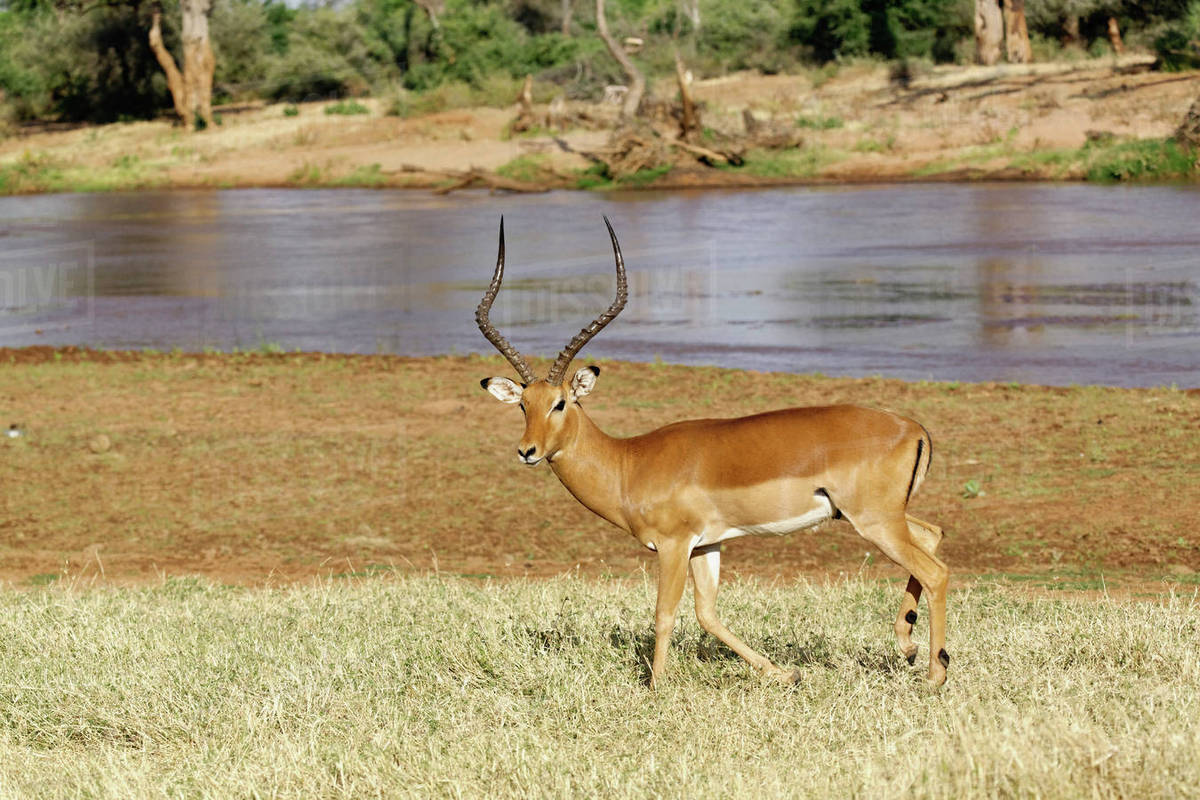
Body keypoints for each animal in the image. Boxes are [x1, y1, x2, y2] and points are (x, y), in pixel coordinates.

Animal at [477, 218, 949, 688]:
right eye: (523, 404)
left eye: (560, 403)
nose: (527, 451)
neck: (629, 463)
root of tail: (912, 428)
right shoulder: (708, 545)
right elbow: (707, 614)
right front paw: (783, 673)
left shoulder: (673, 545)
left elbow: (664, 614)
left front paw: (655, 687)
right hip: (878, 517)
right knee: (932, 536)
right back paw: (908, 647)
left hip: (873, 520)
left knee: (936, 571)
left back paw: (934, 673)